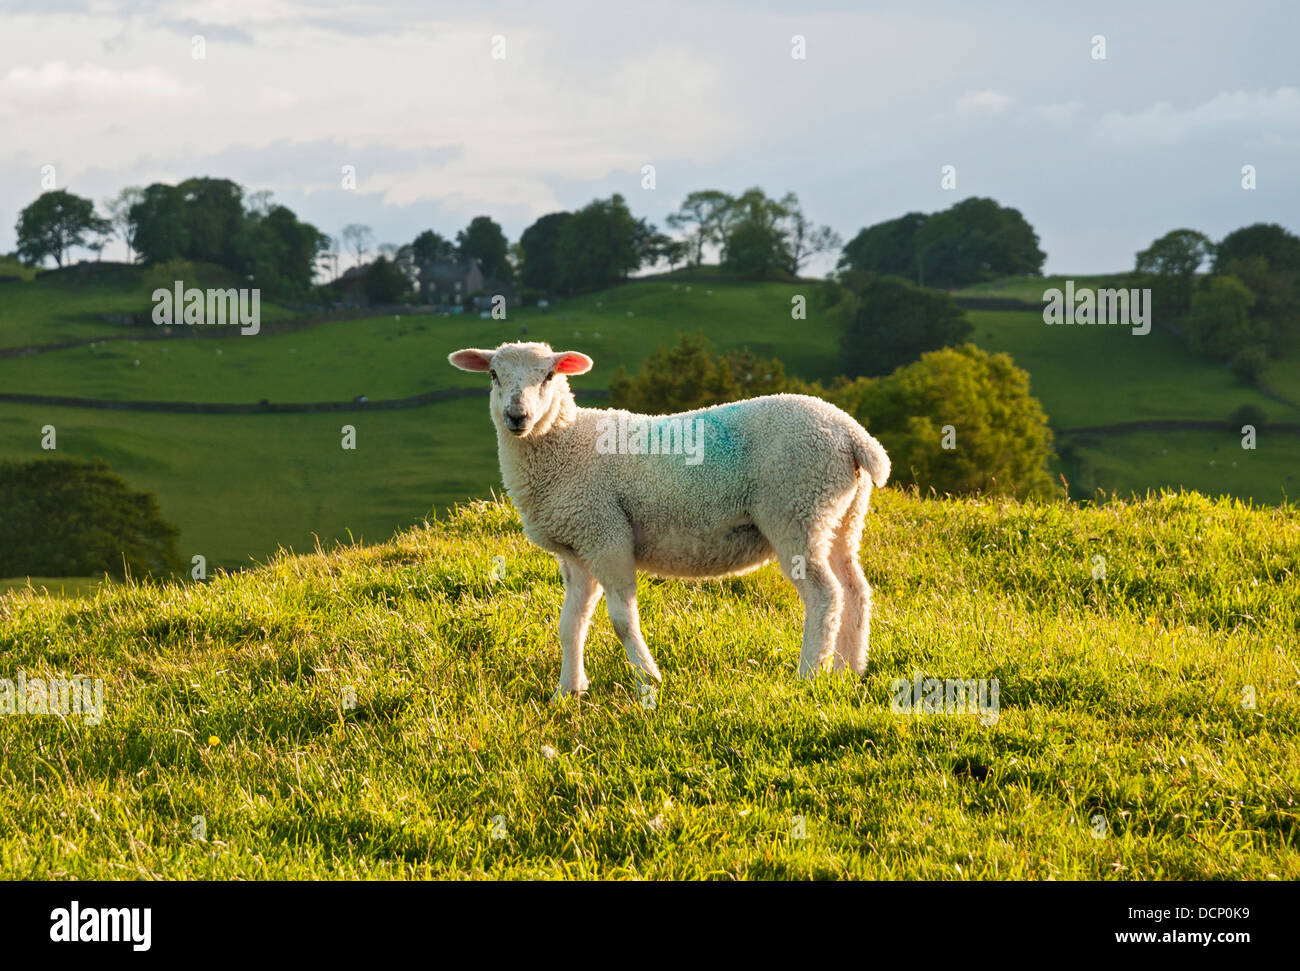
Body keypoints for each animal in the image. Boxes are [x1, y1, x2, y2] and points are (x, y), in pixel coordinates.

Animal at [448, 341, 890, 700]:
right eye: (493, 375)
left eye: (549, 375)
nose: (516, 416)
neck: (566, 443)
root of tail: (855, 436)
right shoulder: (577, 547)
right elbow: (571, 623)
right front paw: (568, 692)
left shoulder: (605, 532)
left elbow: (622, 620)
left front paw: (648, 680)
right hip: (840, 515)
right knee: (855, 588)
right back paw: (849, 670)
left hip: (797, 509)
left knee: (824, 594)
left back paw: (809, 676)